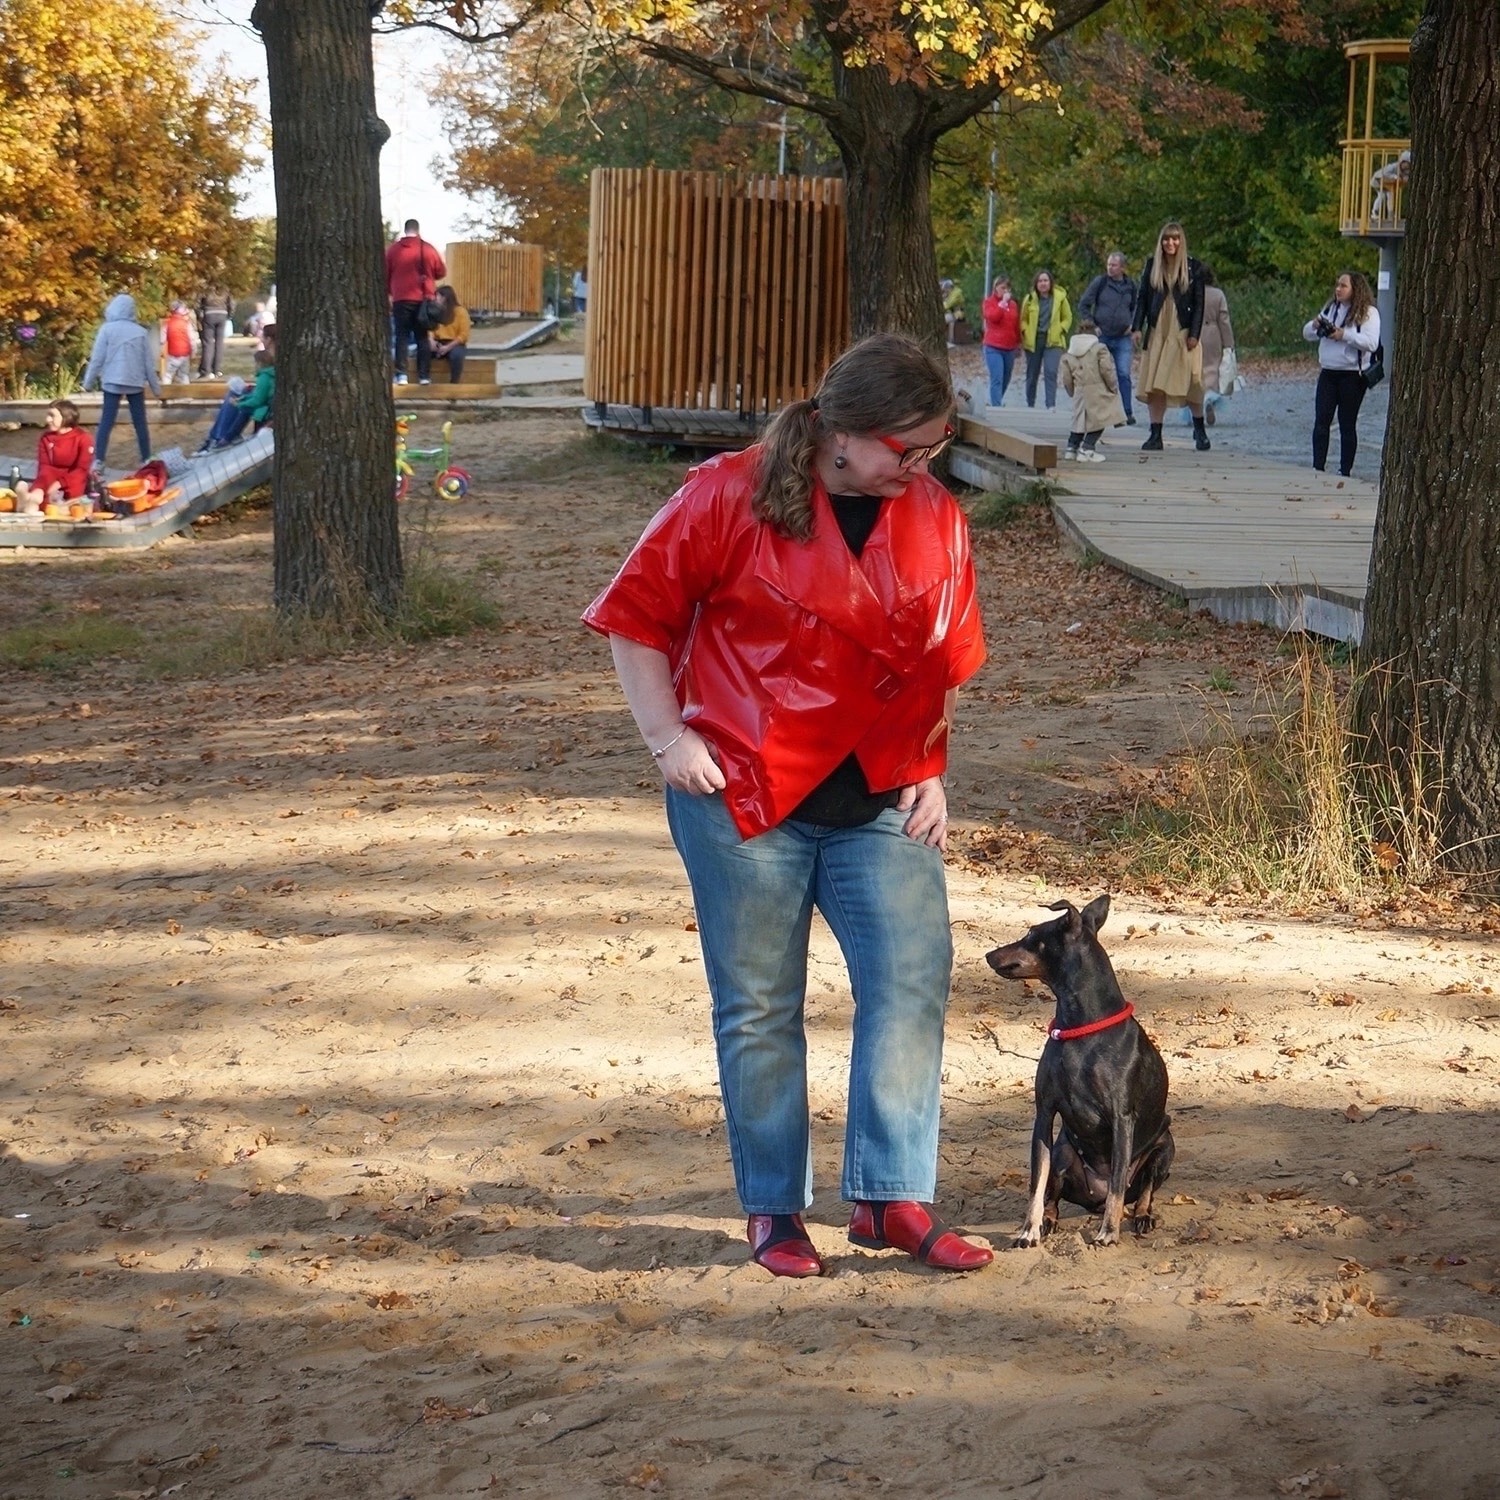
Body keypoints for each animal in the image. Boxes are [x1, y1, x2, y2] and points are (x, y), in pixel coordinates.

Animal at [990, 894, 1176, 1248]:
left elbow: (1117, 1183)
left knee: (1142, 1190)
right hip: (1064, 1152)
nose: (989, 954)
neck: (1080, 1025)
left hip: (1165, 1148)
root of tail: (1094, 1202)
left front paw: (1109, 1232)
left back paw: (1142, 1216)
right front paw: (1028, 1230)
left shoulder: (1122, 1118)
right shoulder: (1045, 1114)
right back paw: (1048, 1221)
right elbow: (1037, 1182)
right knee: (1054, 1193)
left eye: (1031, 934)